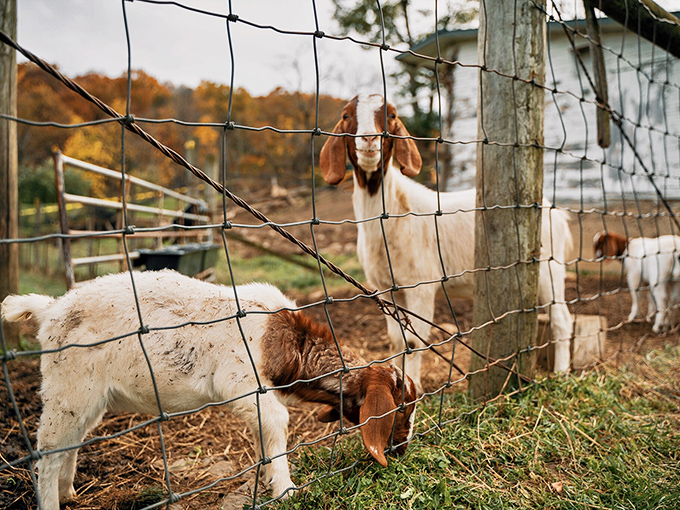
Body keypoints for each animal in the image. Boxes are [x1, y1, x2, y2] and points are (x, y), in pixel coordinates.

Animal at [1, 270, 417, 510]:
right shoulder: (241, 382)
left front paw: (268, 478)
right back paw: (51, 500)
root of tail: (50, 309)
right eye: (401, 409)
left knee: (71, 442)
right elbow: (276, 421)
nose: (401, 450)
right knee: (47, 451)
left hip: (86, 397)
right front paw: (286, 489)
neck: (288, 343)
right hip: (67, 387)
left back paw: (68, 491)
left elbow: (265, 430)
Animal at [319, 94, 573, 390]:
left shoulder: (421, 285)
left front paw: (414, 389)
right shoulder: (385, 288)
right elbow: (395, 340)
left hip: (549, 268)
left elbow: (412, 340)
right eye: (346, 116)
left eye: (391, 115)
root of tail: (555, 210)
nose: (369, 139)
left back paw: (562, 373)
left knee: (562, 320)